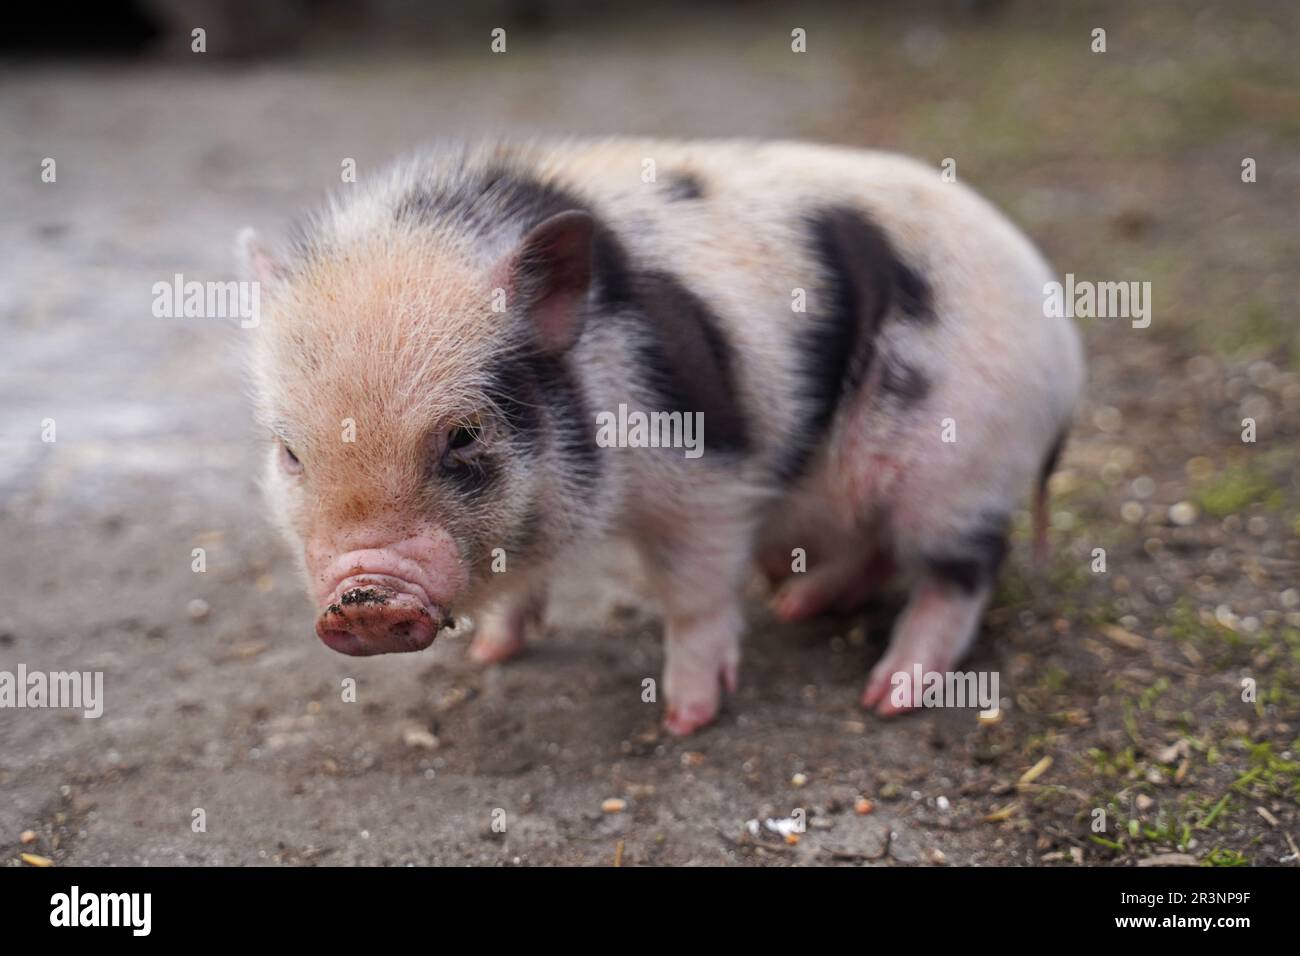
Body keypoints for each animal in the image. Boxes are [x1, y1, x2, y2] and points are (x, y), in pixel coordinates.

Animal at [241, 139, 1083, 735]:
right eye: (290, 451)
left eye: (465, 434)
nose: (363, 598)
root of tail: (1065, 346)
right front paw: (493, 652)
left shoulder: (703, 478)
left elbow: (694, 595)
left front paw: (687, 720)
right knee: (876, 549)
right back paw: (799, 607)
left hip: (958, 462)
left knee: (962, 572)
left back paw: (888, 695)